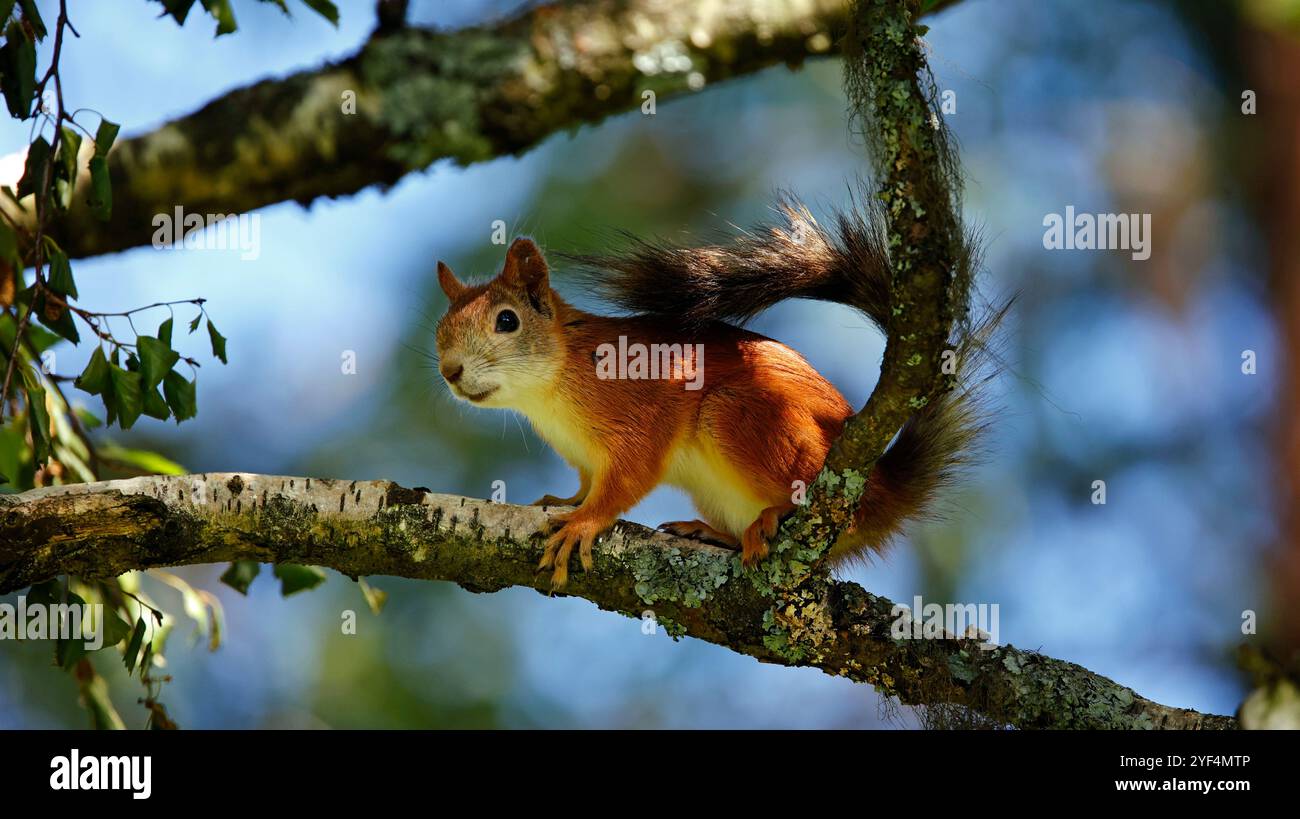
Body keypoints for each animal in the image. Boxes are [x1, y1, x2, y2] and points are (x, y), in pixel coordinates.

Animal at [433, 197, 995, 588]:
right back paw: (714, 532)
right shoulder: (583, 455)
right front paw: (564, 500)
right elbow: (586, 482)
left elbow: (627, 478)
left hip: (746, 419)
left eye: (507, 321)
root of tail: (881, 488)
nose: (449, 371)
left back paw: (774, 514)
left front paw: (584, 522)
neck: (548, 391)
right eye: (440, 328)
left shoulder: (643, 410)